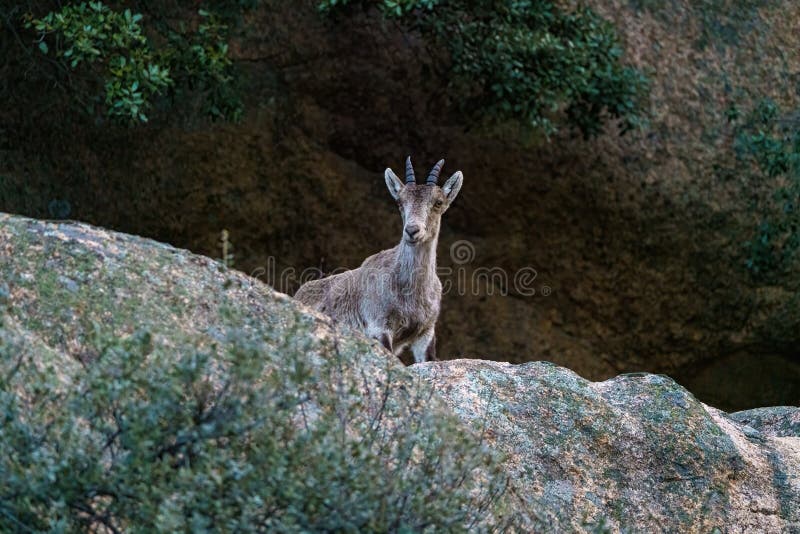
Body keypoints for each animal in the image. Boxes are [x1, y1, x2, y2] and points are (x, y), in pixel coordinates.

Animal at [294, 157, 463, 363]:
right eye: (400, 202)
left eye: (438, 202)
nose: (412, 231)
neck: (411, 292)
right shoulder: (378, 326)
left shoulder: (426, 332)